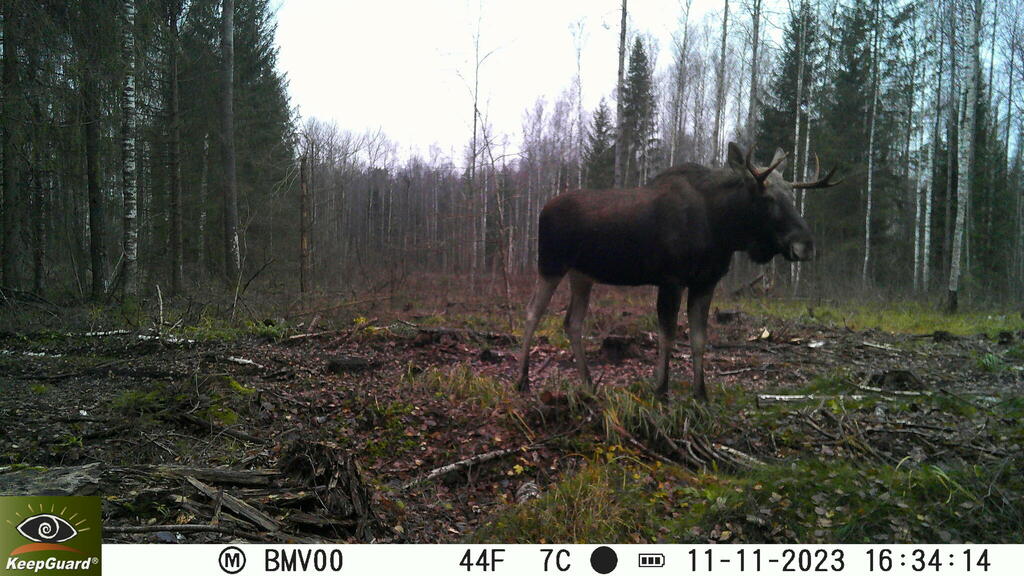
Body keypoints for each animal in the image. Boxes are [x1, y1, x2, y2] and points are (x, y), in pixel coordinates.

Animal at [516, 142, 842, 401]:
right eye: (766, 198)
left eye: (792, 195)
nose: (805, 245)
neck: (723, 230)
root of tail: (543, 209)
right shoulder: (671, 279)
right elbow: (668, 335)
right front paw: (661, 390)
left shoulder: (706, 282)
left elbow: (699, 338)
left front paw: (701, 394)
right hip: (550, 265)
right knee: (532, 312)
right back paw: (523, 381)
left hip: (582, 275)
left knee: (572, 322)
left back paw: (587, 382)